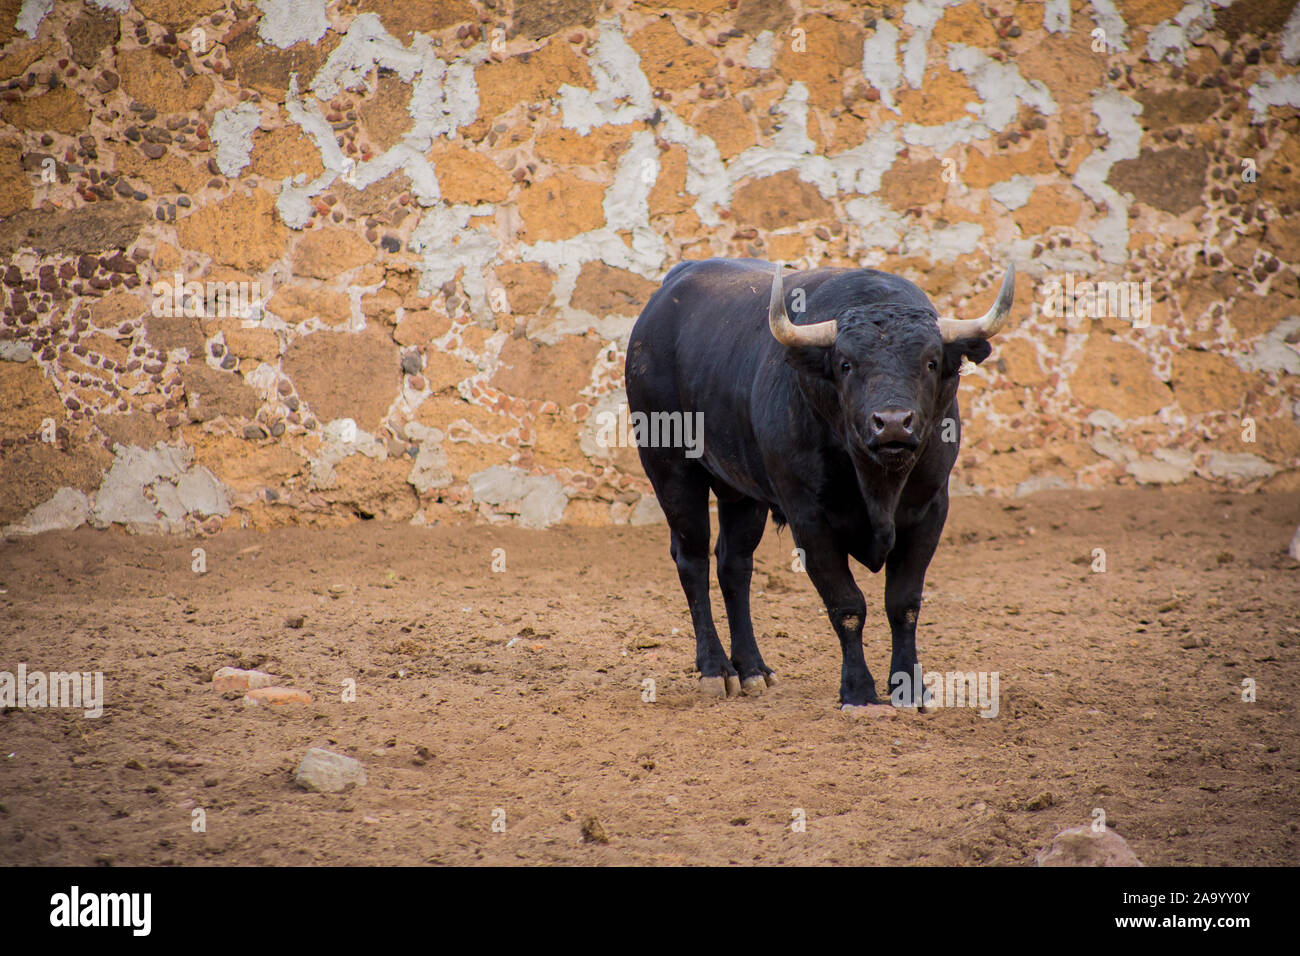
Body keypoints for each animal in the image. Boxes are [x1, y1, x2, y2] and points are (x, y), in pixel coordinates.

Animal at [624, 258, 1015, 710]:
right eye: (845, 364)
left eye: (931, 361)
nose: (892, 423)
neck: (878, 484)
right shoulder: (809, 519)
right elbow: (847, 605)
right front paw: (858, 692)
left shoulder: (930, 510)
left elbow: (903, 604)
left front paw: (910, 688)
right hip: (670, 470)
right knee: (693, 561)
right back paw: (715, 670)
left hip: (742, 493)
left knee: (734, 565)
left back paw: (753, 669)